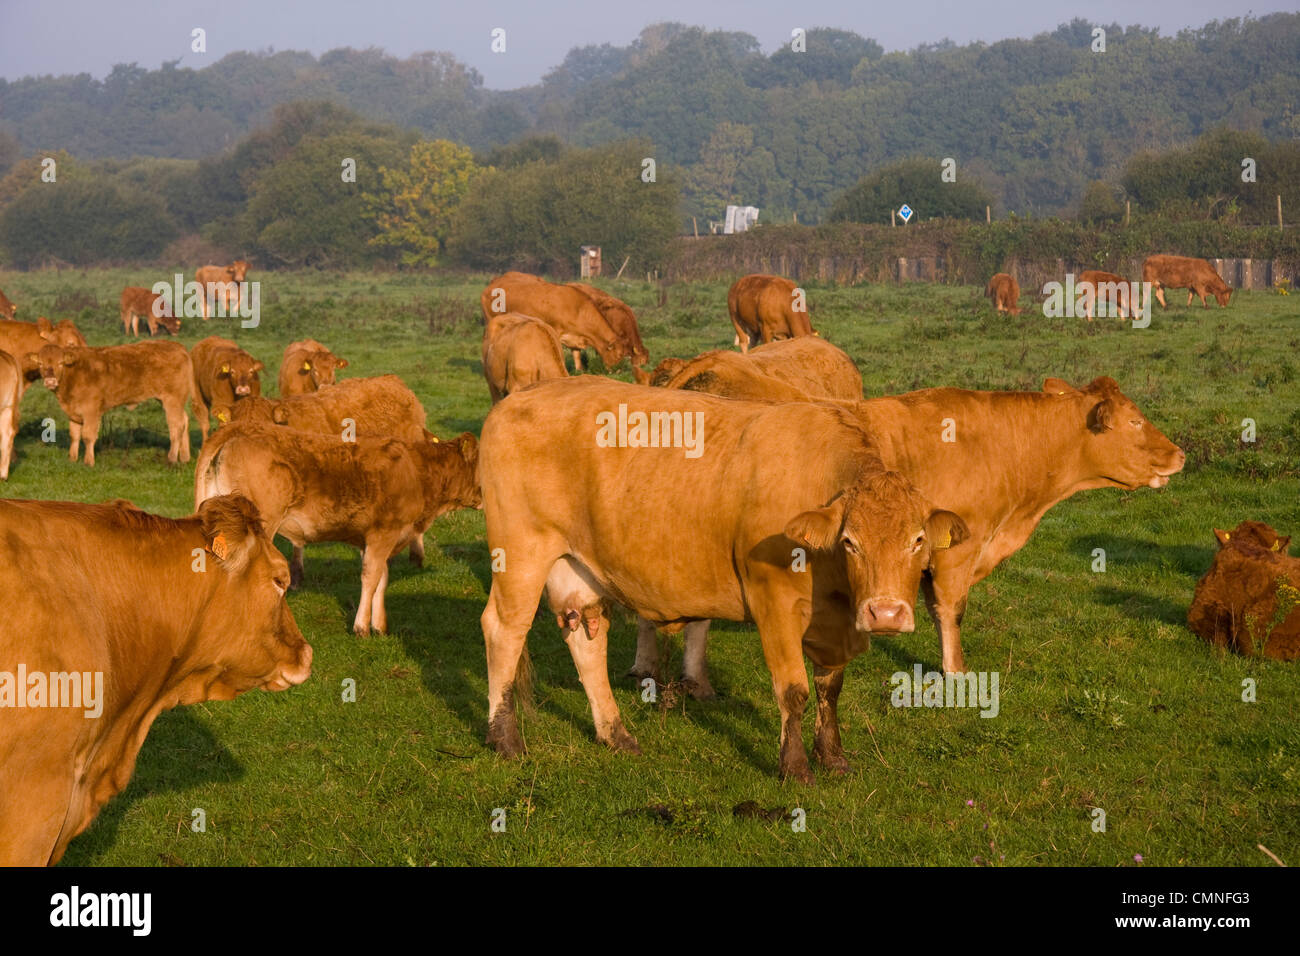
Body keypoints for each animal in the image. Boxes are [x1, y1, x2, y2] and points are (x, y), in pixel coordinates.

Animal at [27, 342, 193, 467]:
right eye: (40, 364)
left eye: (60, 363)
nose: (50, 381)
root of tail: (179, 347)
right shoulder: (73, 412)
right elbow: (74, 435)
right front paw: (72, 459)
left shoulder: (91, 411)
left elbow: (88, 436)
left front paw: (88, 462)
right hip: (173, 401)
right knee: (184, 420)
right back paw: (185, 457)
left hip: (172, 399)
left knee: (176, 425)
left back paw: (172, 458)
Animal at [196, 423, 481, 634]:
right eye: (480, 465)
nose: (483, 497)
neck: (418, 471)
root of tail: (238, 430)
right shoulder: (383, 533)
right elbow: (371, 577)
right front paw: (361, 627)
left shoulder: (372, 539)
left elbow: (382, 578)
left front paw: (379, 626)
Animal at [479, 377, 968, 782]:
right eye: (851, 542)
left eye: (918, 540)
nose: (885, 613)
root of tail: (520, 397)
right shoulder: (774, 603)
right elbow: (793, 690)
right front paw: (795, 768)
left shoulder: (837, 623)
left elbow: (830, 689)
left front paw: (833, 758)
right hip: (520, 555)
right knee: (504, 630)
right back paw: (505, 738)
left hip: (577, 569)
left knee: (586, 640)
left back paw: (615, 734)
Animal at [480, 272, 626, 372]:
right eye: (619, 354)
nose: (619, 371)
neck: (578, 308)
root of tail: (495, 281)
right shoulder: (555, 330)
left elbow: (576, 354)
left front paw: (579, 370)